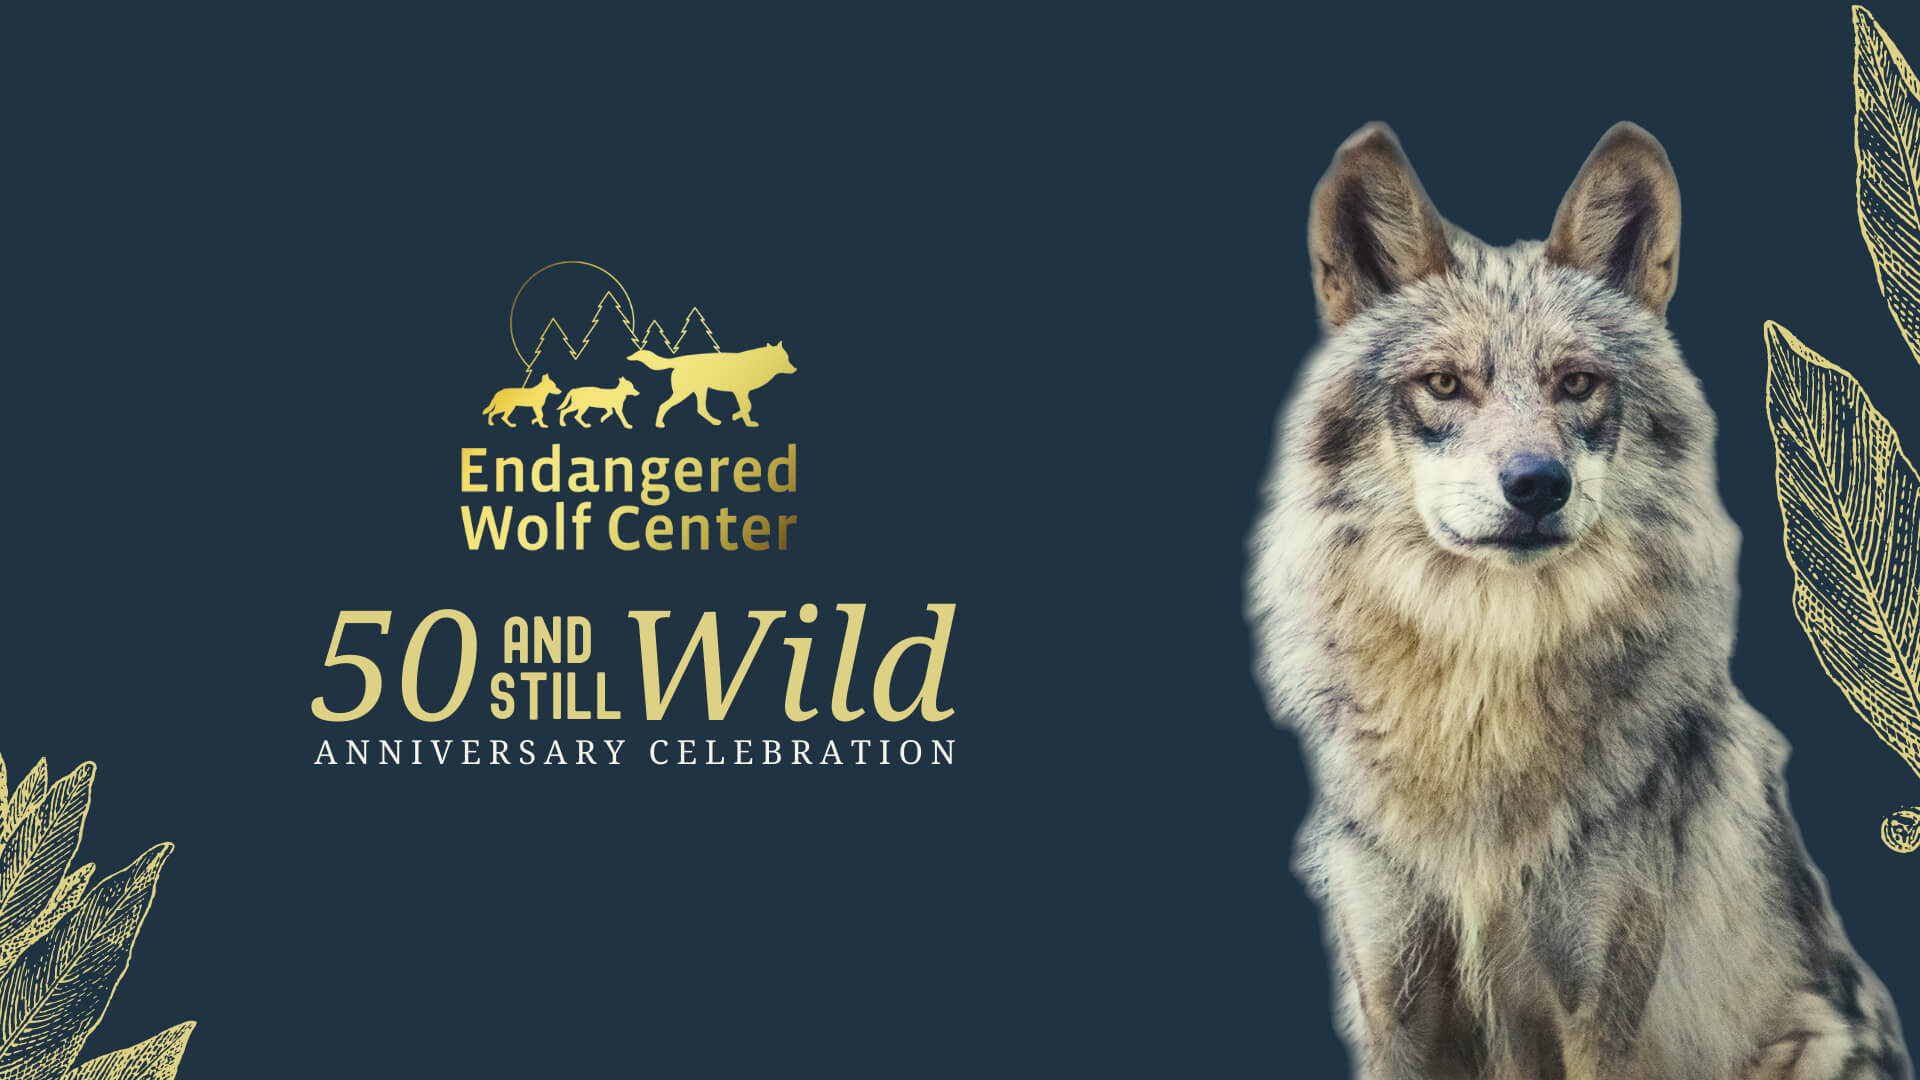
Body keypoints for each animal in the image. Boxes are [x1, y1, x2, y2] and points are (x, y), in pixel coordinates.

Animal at [628, 342, 795, 428]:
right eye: (785, 358)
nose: (795, 369)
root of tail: (678, 360)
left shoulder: (743, 393)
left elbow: (747, 407)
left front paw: (746, 422)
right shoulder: (739, 392)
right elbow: (747, 406)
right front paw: (736, 417)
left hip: (701, 391)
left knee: (700, 409)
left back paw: (715, 421)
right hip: (683, 393)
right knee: (663, 405)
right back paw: (659, 424)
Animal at [1246, 123, 1910, 1079]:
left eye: (1576, 383)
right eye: (1443, 385)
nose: (1536, 484)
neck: (1483, 694)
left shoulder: (1602, 1008)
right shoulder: (1395, 1003)